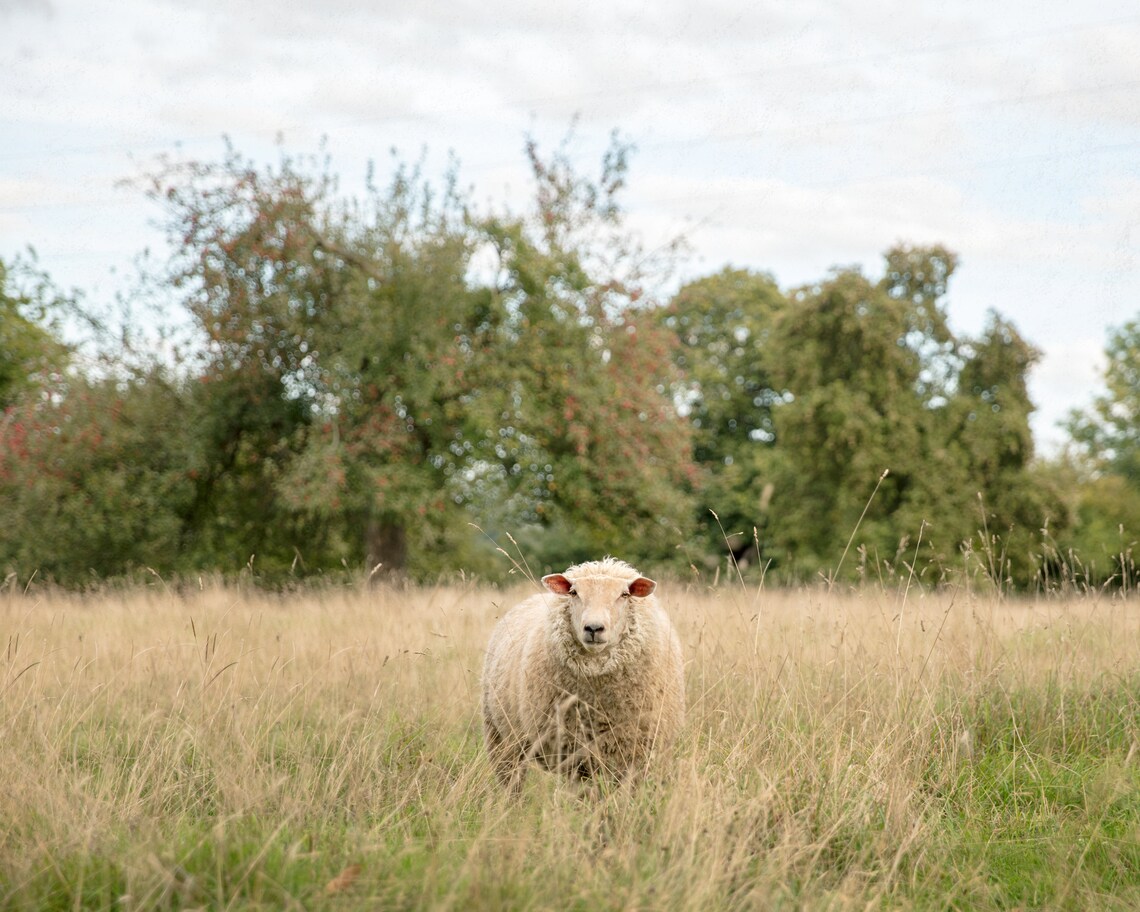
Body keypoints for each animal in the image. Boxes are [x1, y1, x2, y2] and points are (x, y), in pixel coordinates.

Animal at [481, 557, 685, 794]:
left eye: (624, 595)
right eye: (574, 592)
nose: (594, 628)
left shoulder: (634, 751)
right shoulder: (575, 755)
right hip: (501, 738)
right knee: (511, 782)